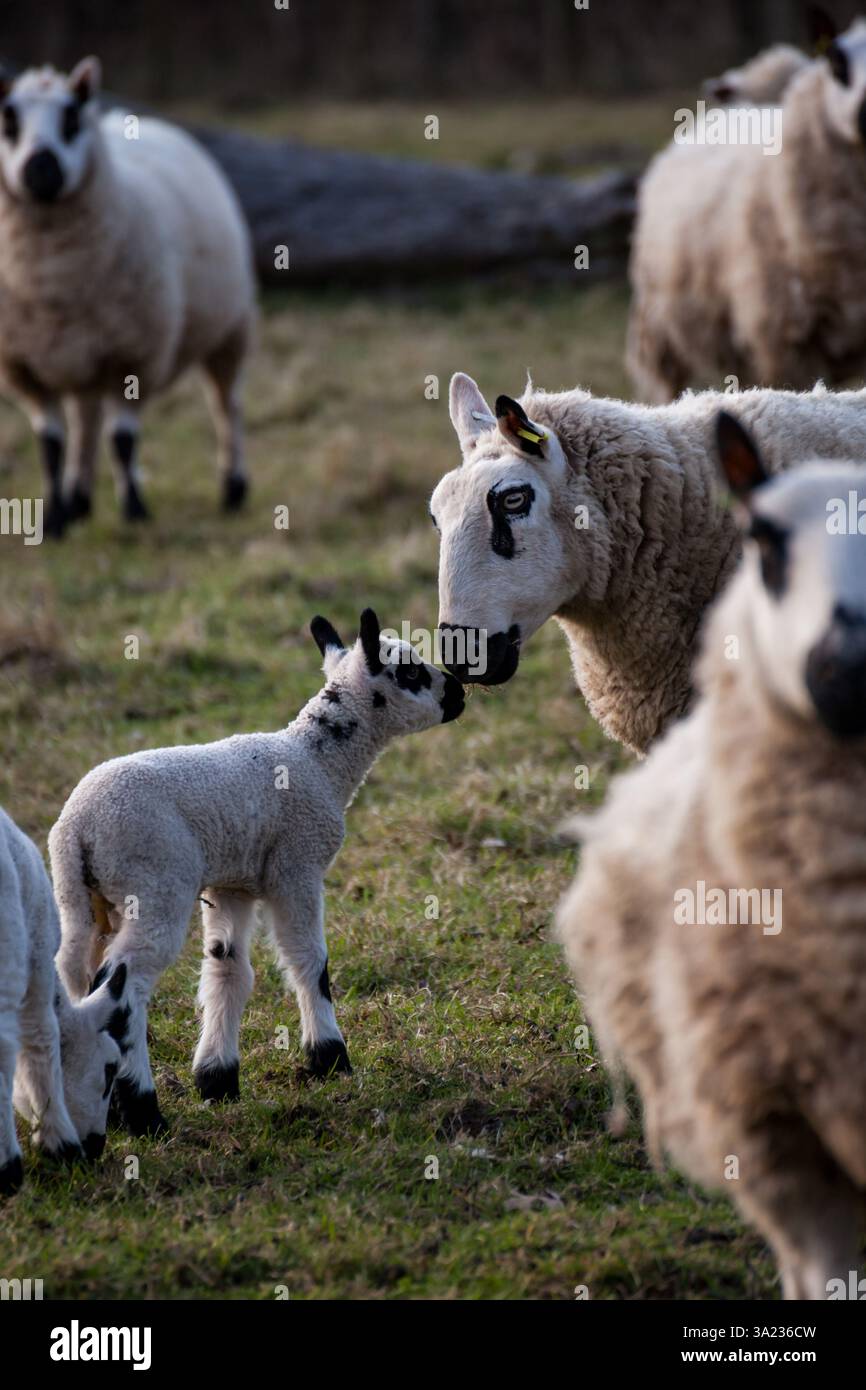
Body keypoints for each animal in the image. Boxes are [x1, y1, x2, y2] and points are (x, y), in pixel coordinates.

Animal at [0, 57, 255, 536]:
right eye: (8, 121)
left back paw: (233, 488)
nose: (41, 172)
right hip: (79, 356)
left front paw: (134, 510)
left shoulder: (133, 356)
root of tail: (133, 118)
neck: (51, 277)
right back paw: (78, 500)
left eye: (71, 118)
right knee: (85, 419)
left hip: (229, 331)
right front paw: (53, 519)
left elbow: (122, 439)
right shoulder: (26, 369)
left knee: (225, 406)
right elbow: (50, 445)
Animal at [0, 804, 127, 1194]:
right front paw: (61, 1144)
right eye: (110, 1068)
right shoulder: (36, 965)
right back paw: (9, 1166)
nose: (98, 1145)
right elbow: (42, 1041)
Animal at [48, 610, 464, 1136]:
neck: (320, 762)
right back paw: (143, 1113)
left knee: (79, 983)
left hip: (85, 899)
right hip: (154, 882)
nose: (459, 693)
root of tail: (77, 829)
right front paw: (330, 1060)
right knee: (124, 990)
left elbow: (228, 970)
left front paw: (217, 1079)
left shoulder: (234, 882)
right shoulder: (296, 864)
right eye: (409, 672)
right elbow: (308, 960)